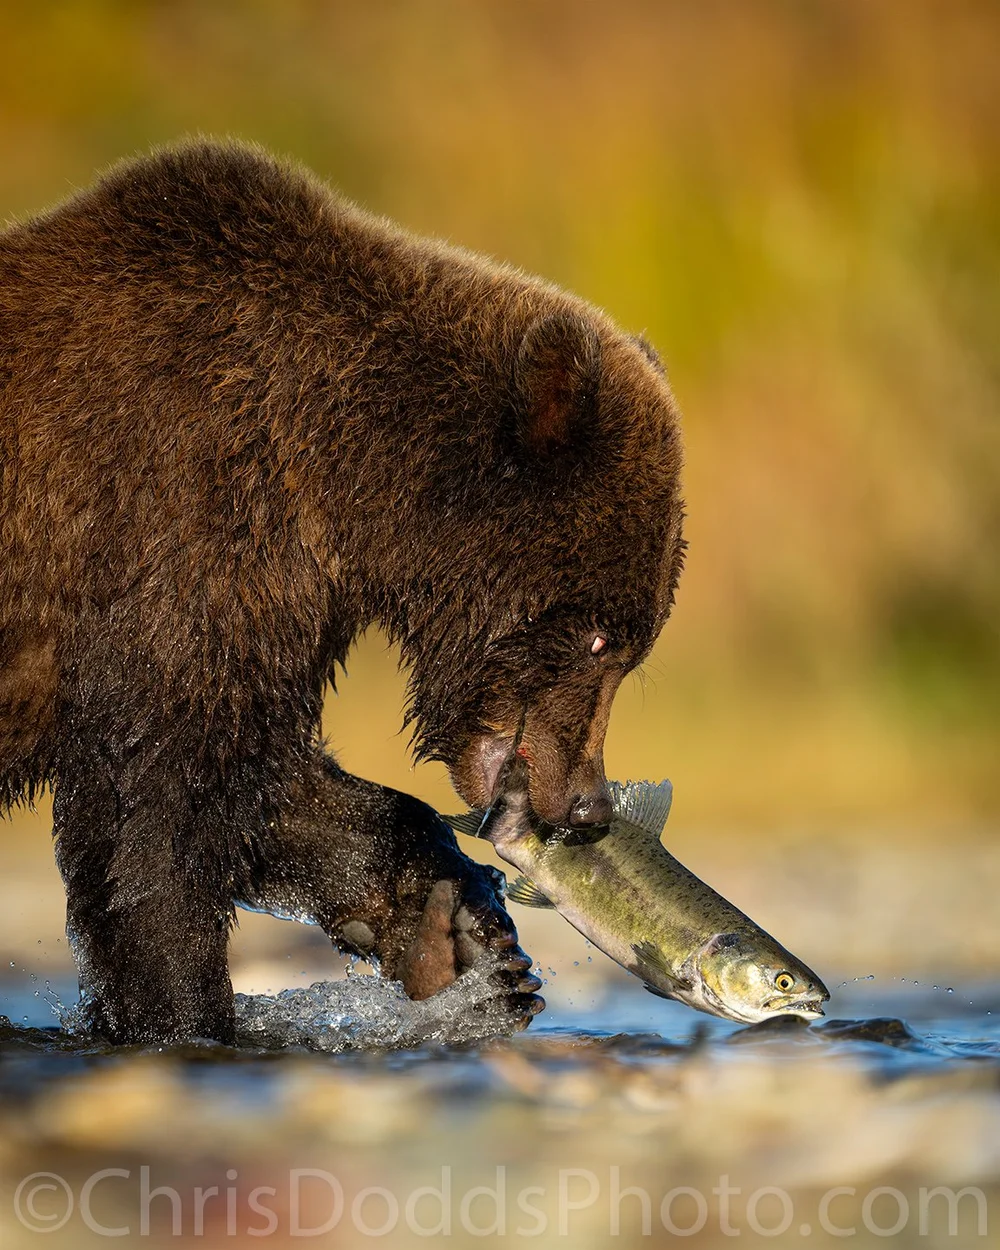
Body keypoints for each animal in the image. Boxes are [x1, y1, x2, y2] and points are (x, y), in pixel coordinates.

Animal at [0, 139, 685, 1045]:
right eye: (596, 638)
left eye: (635, 648)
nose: (587, 805)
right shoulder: (177, 533)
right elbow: (154, 823)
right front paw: (187, 1016)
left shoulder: (273, 600)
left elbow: (264, 783)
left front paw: (465, 941)